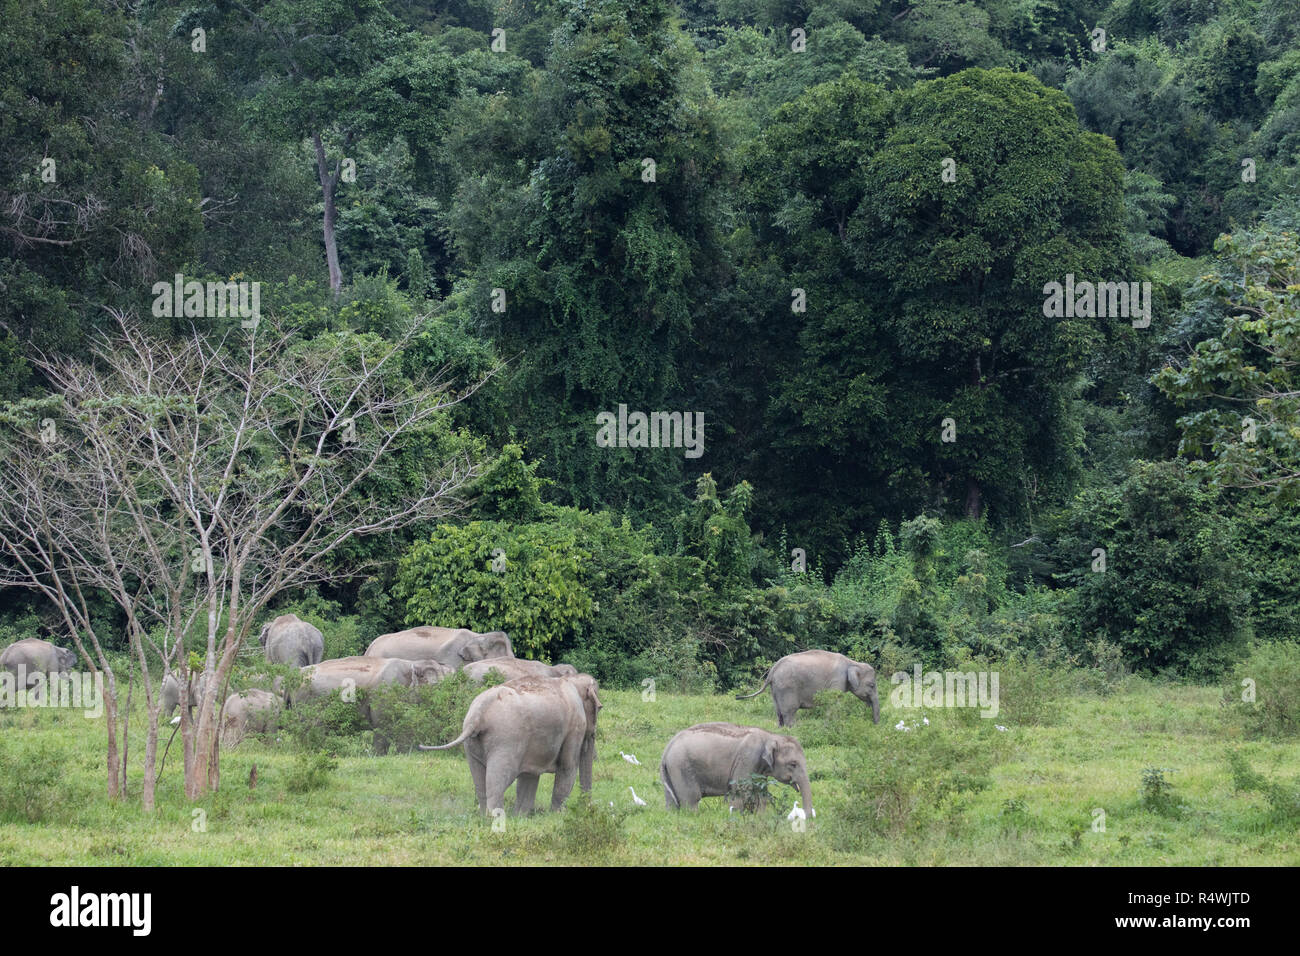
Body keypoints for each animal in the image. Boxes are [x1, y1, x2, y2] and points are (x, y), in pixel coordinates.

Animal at [419, 674, 601, 815]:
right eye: (599, 708)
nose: (588, 808)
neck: (571, 679)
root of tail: (478, 714)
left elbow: (530, 775)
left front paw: (521, 816)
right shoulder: (575, 726)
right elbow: (567, 767)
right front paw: (556, 815)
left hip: (471, 744)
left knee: (480, 779)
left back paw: (483, 816)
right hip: (506, 740)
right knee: (499, 778)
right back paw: (495, 817)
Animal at [660, 722, 813, 814]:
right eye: (793, 764)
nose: (808, 818)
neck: (770, 736)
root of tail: (667, 749)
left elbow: (761, 793)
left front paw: (760, 816)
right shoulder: (748, 759)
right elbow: (741, 790)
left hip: (672, 770)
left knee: (672, 800)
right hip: (682, 768)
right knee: (691, 799)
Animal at [735, 649, 879, 727]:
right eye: (872, 685)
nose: (874, 725)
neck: (852, 662)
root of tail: (772, 670)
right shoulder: (837, 681)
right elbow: (833, 703)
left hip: (775, 689)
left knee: (779, 712)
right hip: (786, 688)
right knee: (789, 711)